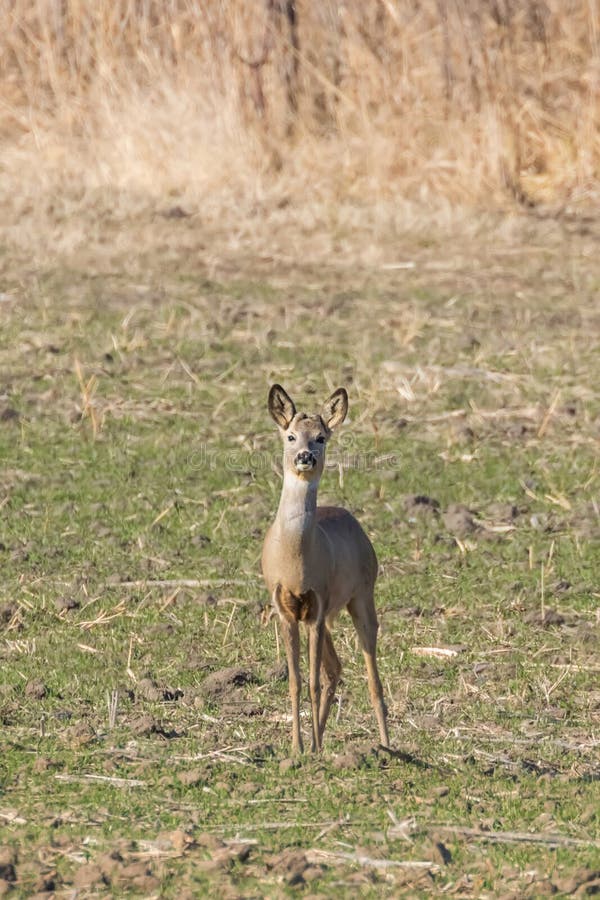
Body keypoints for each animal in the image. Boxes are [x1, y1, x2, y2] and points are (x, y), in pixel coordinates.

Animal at [261, 384, 389, 753]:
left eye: (321, 437)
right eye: (290, 436)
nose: (306, 456)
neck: (295, 561)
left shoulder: (318, 606)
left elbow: (313, 682)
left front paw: (310, 748)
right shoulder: (287, 609)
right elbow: (296, 681)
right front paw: (297, 748)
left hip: (361, 595)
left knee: (371, 673)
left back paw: (386, 744)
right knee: (336, 669)